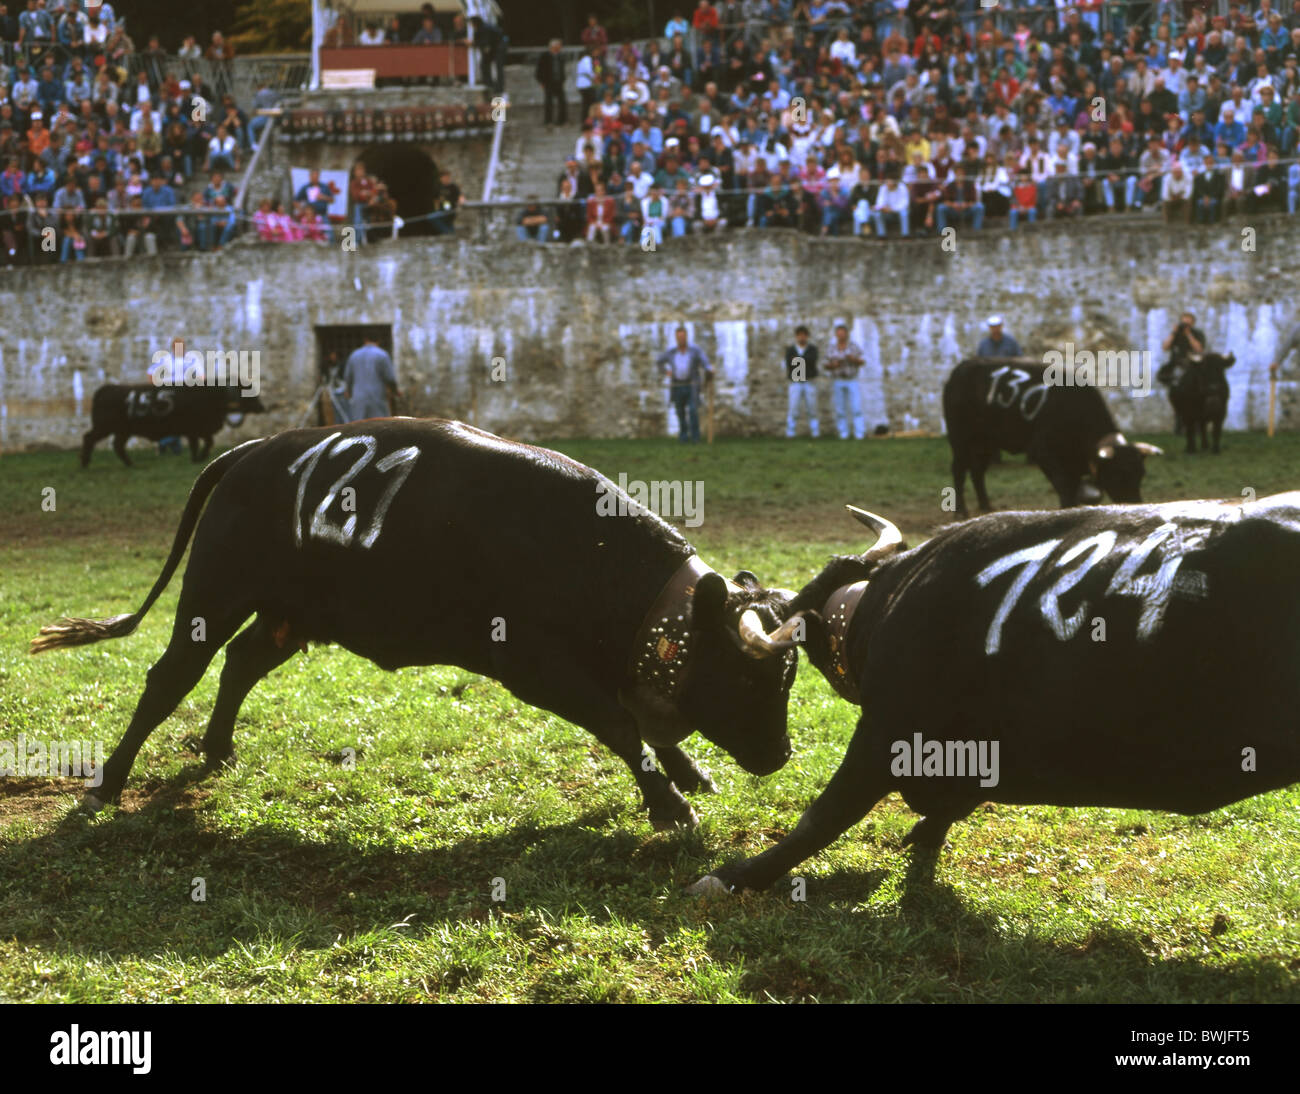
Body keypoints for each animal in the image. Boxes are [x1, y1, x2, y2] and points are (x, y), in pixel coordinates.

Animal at [33, 419, 800, 827]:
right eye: (745, 677)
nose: (781, 756)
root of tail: (250, 450)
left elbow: (641, 719)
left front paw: (688, 772)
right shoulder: (534, 667)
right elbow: (620, 724)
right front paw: (668, 804)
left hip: (291, 614)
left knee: (242, 662)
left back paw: (218, 749)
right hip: (215, 595)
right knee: (170, 677)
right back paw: (108, 783)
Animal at [81, 383, 267, 467]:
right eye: (247, 390)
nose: (262, 407)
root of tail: (106, 388)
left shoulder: (199, 430)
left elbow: (205, 442)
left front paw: (199, 458)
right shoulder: (194, 430)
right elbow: (201, 443)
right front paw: (197, 458)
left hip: (122, 431)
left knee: (118, 446)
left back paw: (130, 464)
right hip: (105, 427)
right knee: (89, 438)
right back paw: (85, 463)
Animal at [943, 357, 1162, 515]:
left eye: (1140, 474)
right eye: (1118, 474)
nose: (1135, 505)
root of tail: (960, 370)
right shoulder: (1044, 454)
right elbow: (1064, 488)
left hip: (986, 444)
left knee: (977, 472)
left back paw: (986, 506)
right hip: (960, 439)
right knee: (958, 471)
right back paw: (960, 511)